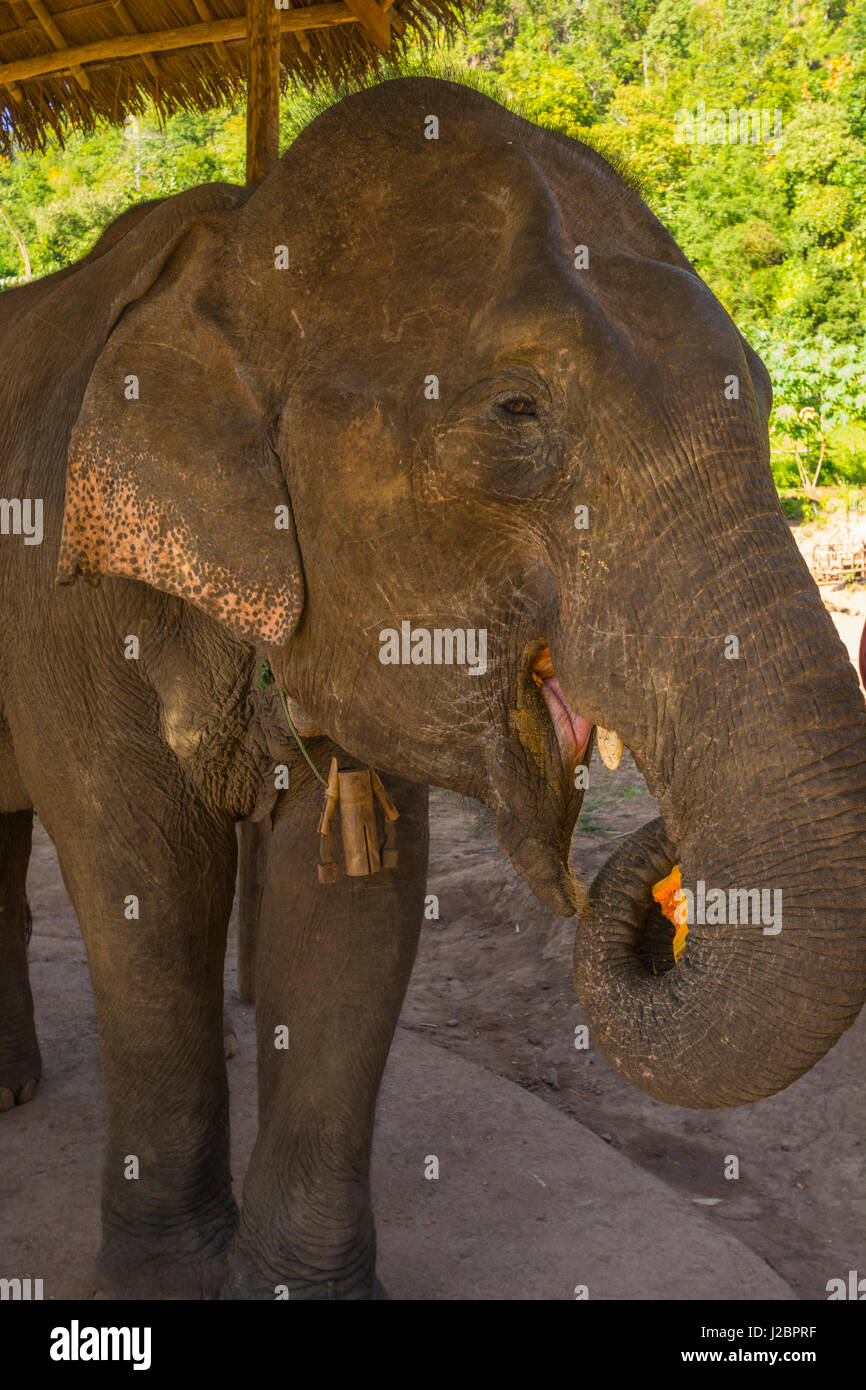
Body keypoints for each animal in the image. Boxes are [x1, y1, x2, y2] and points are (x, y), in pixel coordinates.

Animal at [1, 73, 865, 1301]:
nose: (659, 871)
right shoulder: (61, 595)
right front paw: (162, 1289)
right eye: (515, 413)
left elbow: (353, 910)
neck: (238, 249)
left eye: (756, 386)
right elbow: (144, 887)